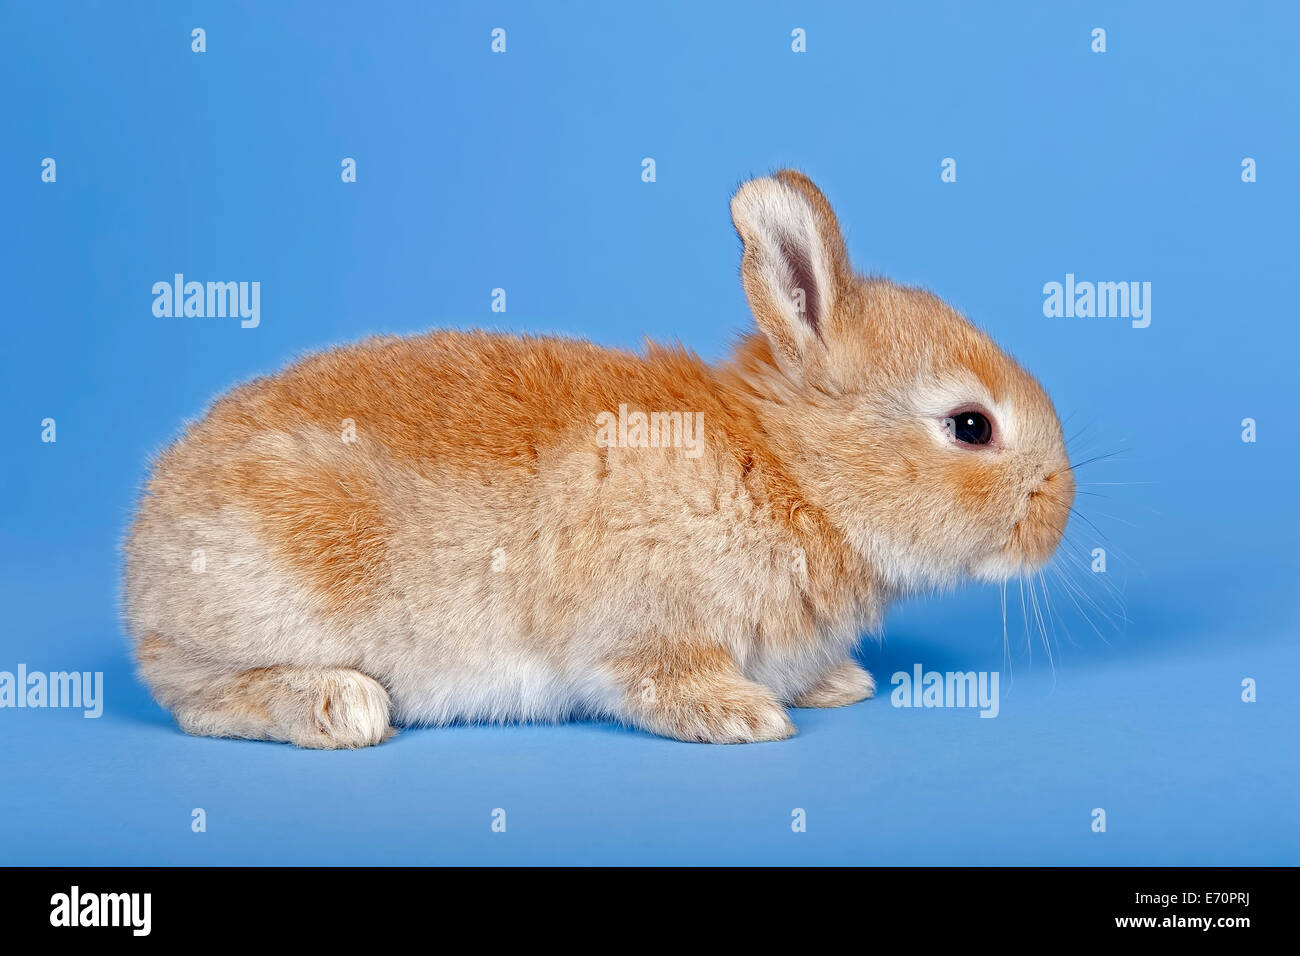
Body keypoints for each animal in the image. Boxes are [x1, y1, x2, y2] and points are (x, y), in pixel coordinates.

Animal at [123, 170, 1074, 748]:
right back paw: (341, 706)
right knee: (198, 698)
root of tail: (141, 568)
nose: (1058, 511)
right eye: (971, 427)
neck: (794, 471)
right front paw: (746, 717)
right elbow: (657, 681)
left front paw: (836, 684)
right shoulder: (647, 632)